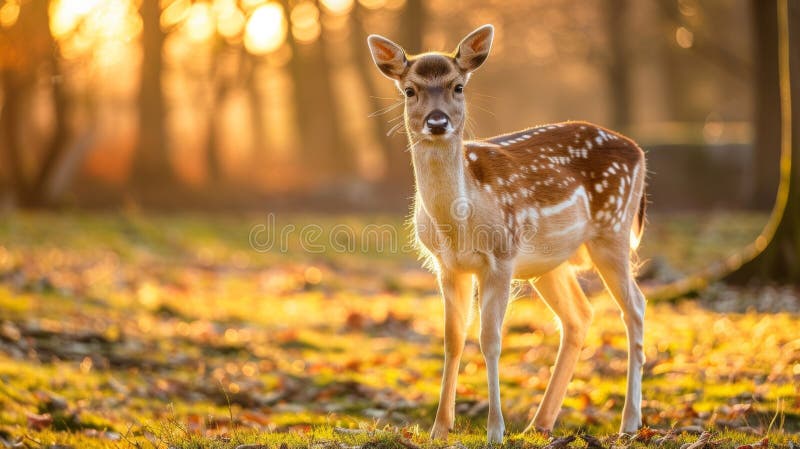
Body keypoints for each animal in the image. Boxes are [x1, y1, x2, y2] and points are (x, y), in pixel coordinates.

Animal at [366, 24, 647, 443]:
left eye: (458, 86)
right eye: (409, 90)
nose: (437, 122)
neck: (459, 224)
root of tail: (639, 151)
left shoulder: (500, 255)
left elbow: (491, 340)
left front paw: (495, 430)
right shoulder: (447, 266)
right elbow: (452, 339)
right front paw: (439, 428)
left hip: (612, 230)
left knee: (636, 308)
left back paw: (629, 423)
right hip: (550, 262)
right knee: (580, 315)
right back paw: (539, 423)